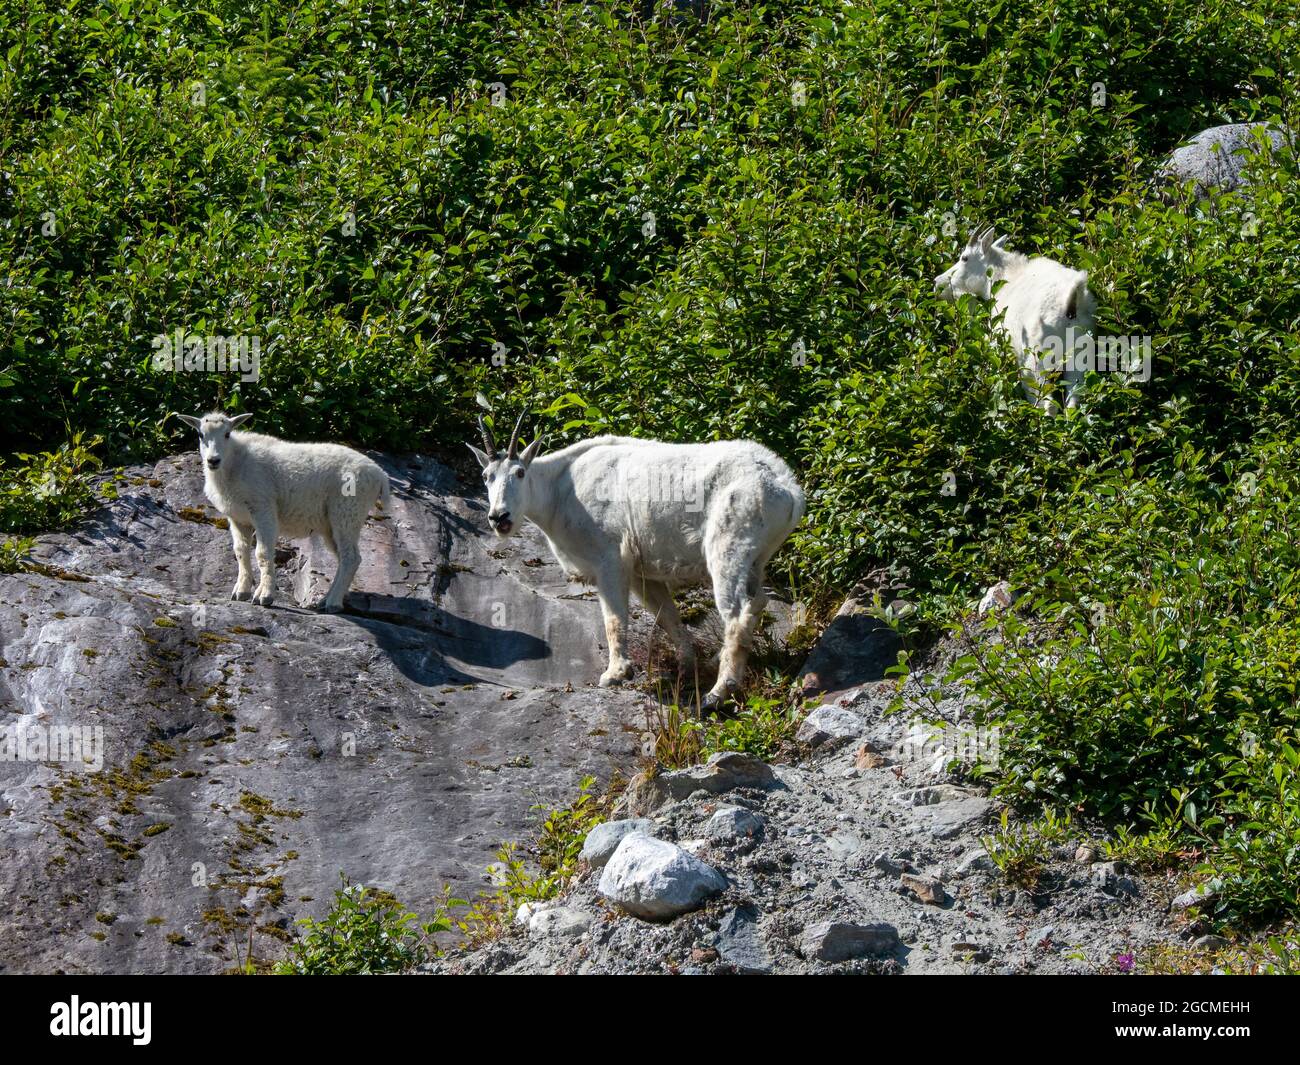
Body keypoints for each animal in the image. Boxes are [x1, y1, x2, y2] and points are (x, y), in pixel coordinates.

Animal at [175, 412, 390, 611]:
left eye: (227, 434)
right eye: (201, 435)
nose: (213, 460)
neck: (234, 463)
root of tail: (380, 474)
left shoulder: (263, 508)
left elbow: (263, 553)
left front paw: (264, 596)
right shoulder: (237, 517)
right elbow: (241, 552)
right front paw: (241, 592)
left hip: (348, 511)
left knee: (350, 557)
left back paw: (333, 603)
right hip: (333, 523)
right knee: (346, 558)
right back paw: (326, 600)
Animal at [468, 415, 804, 707]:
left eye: (520, 473)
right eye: (486, 477)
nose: (499, 517)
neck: (558, 490)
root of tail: (787, 488)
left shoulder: (610, 557)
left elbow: (614, 619)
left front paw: (615, 673)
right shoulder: (645, 574)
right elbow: (668, 616)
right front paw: (687, 666)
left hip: (729, 545)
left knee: (737, 614)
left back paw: (718, 692)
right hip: (756, 558)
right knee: (757, 601)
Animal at [934, 227, 1096, 412]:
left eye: (964, 258)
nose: (937, 283)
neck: (1003, 278)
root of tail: (1070, 301)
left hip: (1038, 359)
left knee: (1046, 402)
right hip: (1080, 355)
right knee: (1073, 400)